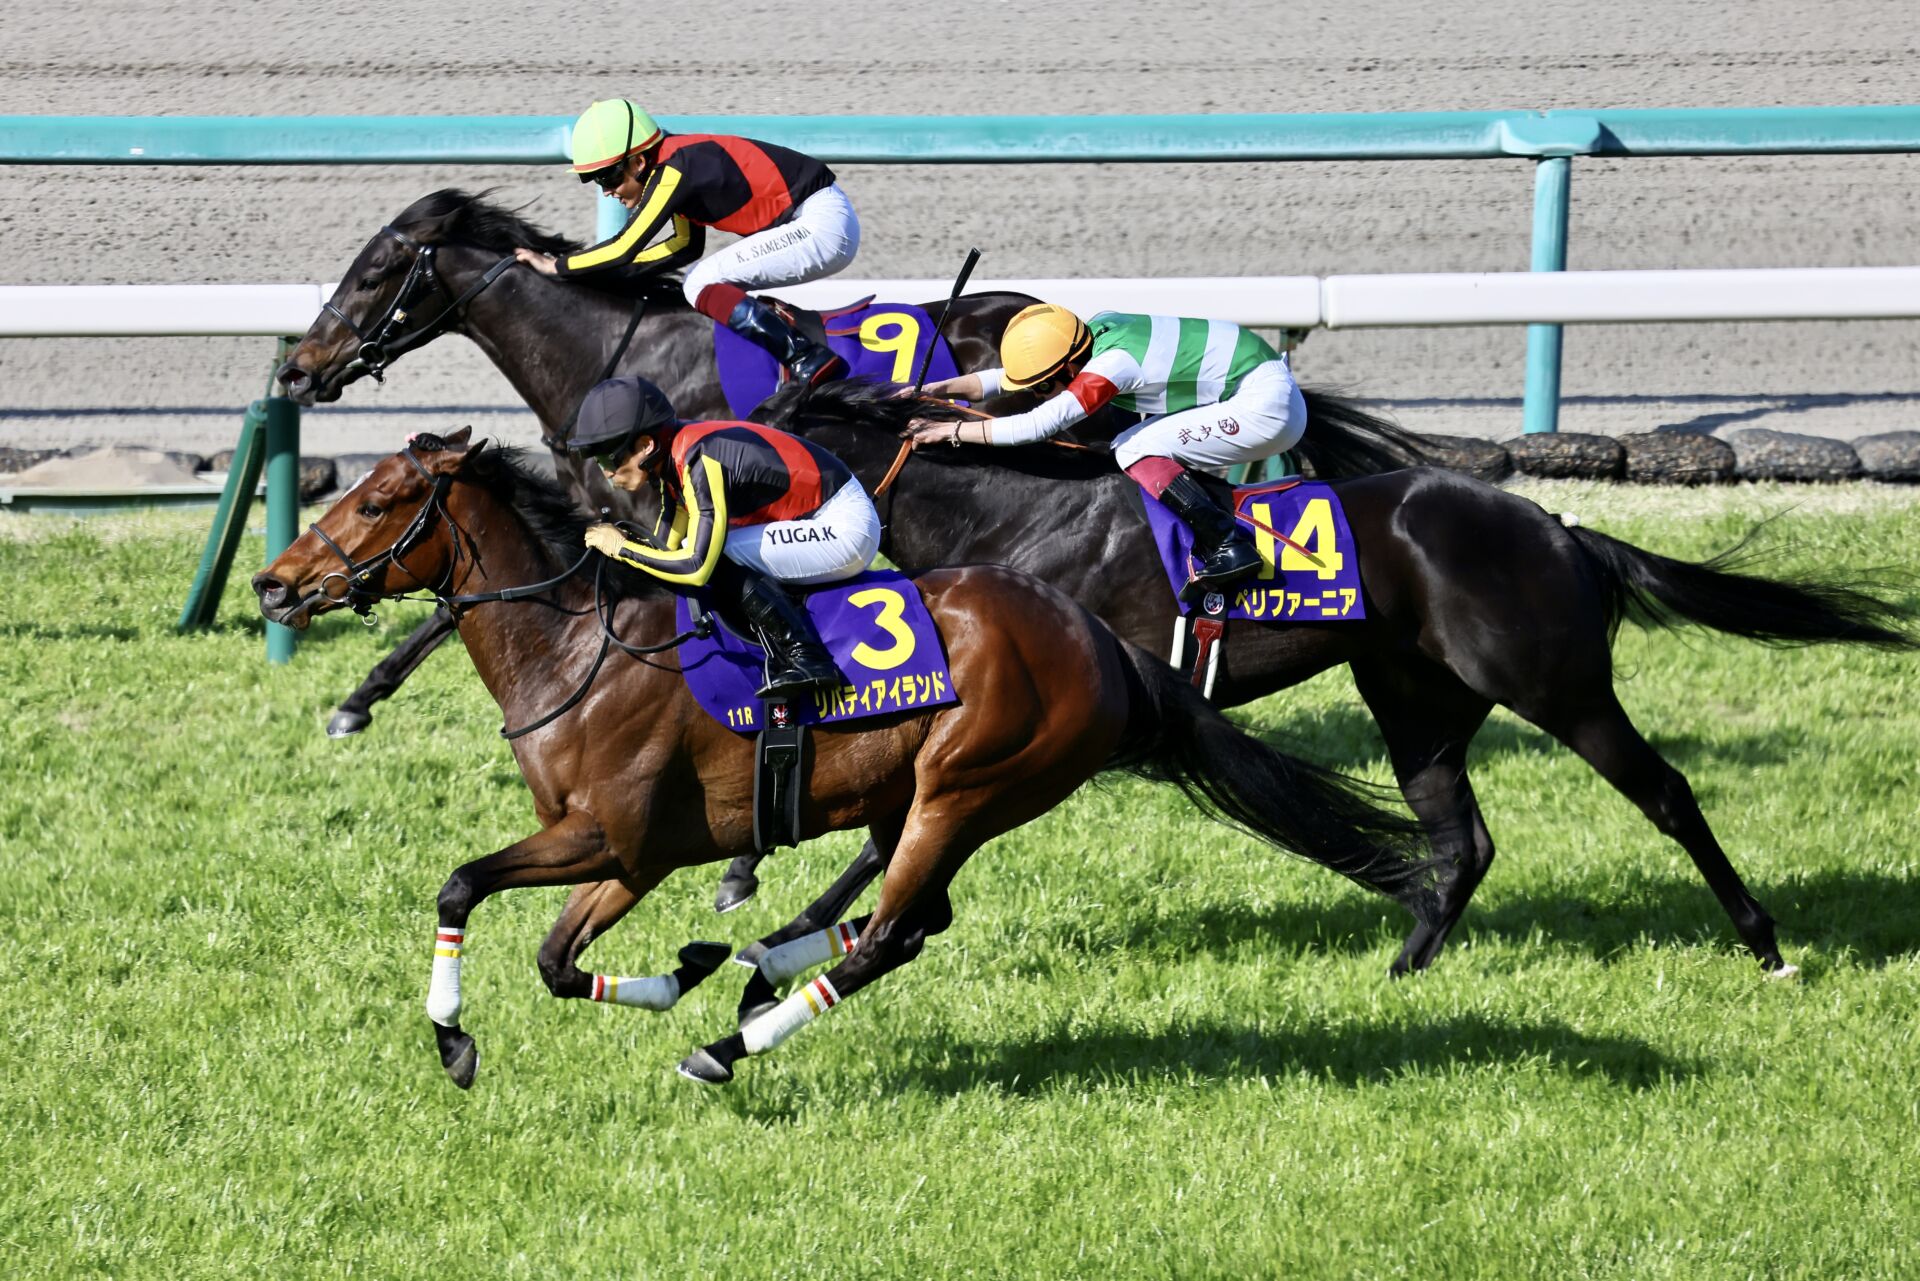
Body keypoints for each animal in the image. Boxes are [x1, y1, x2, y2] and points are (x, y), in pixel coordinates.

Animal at [251, 428, 1434, 1088]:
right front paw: (680, 969)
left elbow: (462, 883)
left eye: (376, 501)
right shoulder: (629, 855)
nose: (273, 584)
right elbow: (550, 957)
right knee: (903, 920)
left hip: (966, 787)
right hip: (903, 796)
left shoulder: (613, 836)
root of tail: (1102, 642)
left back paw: (728, 1044)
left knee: (892, 935)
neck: (577, 650)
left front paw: (454, 1042)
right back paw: (754, 970)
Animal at [720, 381, 1916, 981]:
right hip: (1418, 700)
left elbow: (893, 832)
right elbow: (881, 825)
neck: (1012, 517)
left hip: (1560, 687)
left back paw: (1767, 945)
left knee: (1665, 793)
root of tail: (1560, 527)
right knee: (1462, 837)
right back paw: (1405, 966)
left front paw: (789, 923)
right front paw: (772, 905)